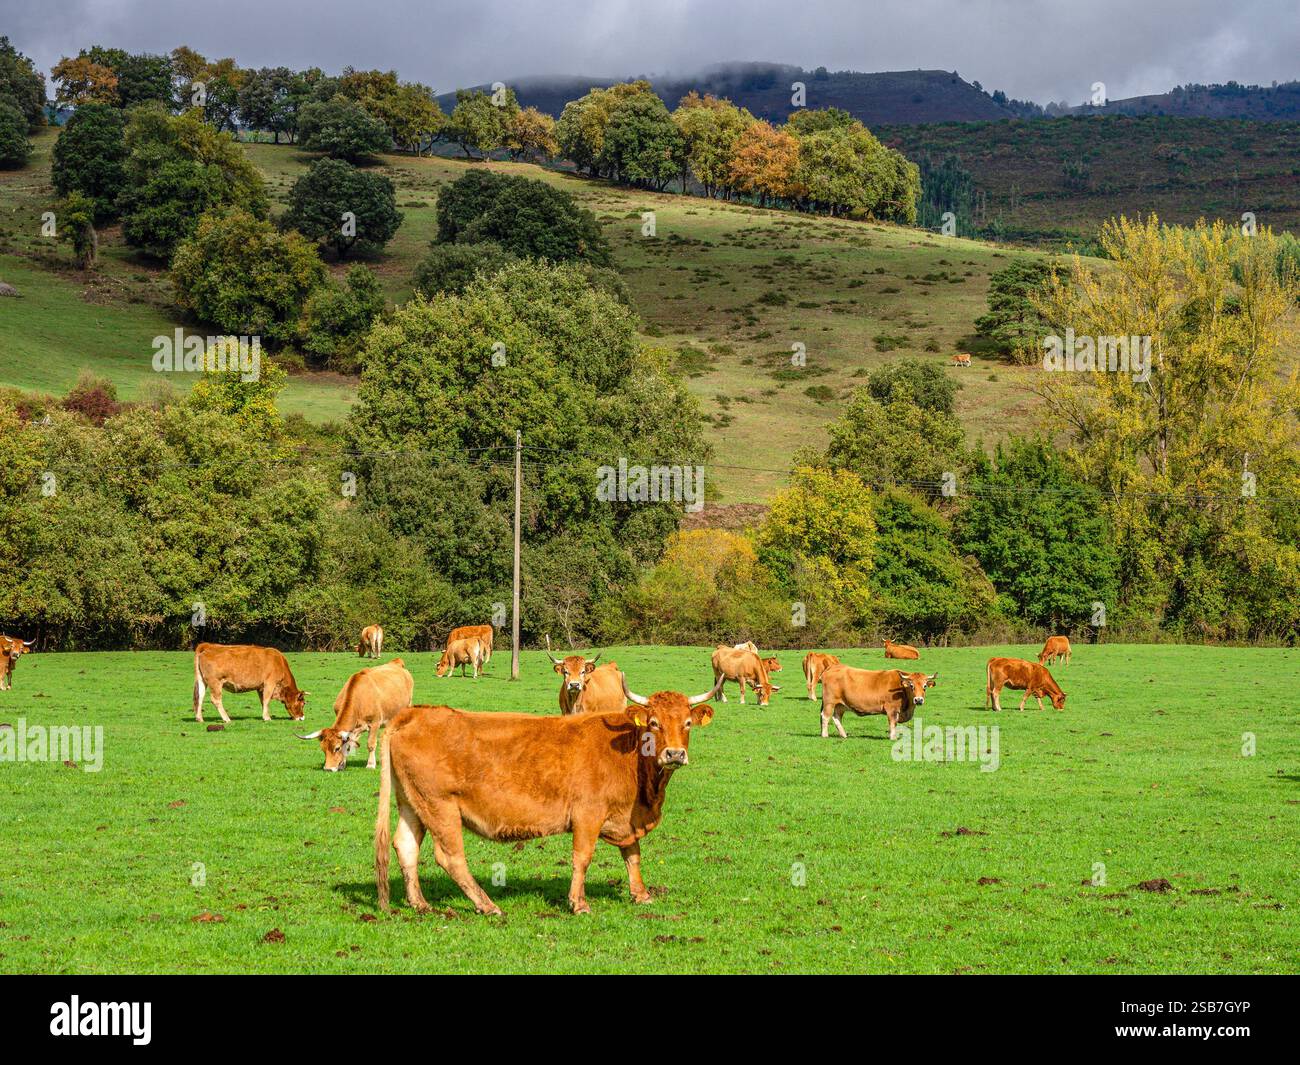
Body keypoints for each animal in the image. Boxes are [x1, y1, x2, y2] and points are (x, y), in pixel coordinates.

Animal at [374, 673, 724, 916]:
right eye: (653, 723)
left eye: (688, 723)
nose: (675, 754)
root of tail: (415, 713)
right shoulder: (588, 814)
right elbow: (582, 857)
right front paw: (578, 904)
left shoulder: (626, 817)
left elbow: (632, 853)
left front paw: (641, 894)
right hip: (440, 806)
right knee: (450, 857)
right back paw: (487, 905)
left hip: (413, 803)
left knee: (405, 846)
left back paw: (420, 904)